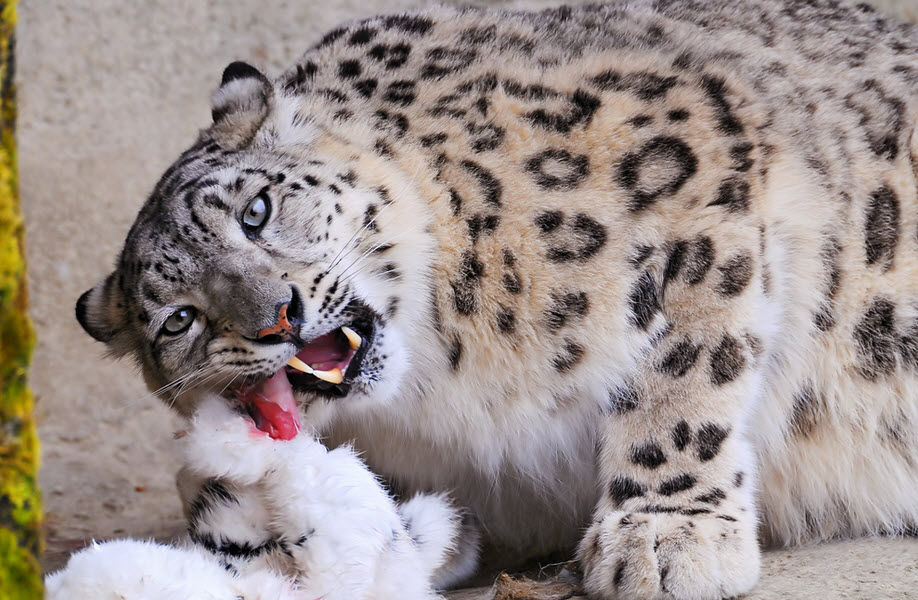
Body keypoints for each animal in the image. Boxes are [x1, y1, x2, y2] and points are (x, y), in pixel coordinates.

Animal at [74, 0, 918, 598]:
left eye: (255, 210)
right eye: (180, 319)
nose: (275, 315)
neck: (442, 383)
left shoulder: (698, 170)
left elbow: (684, 370)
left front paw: (664, 535)